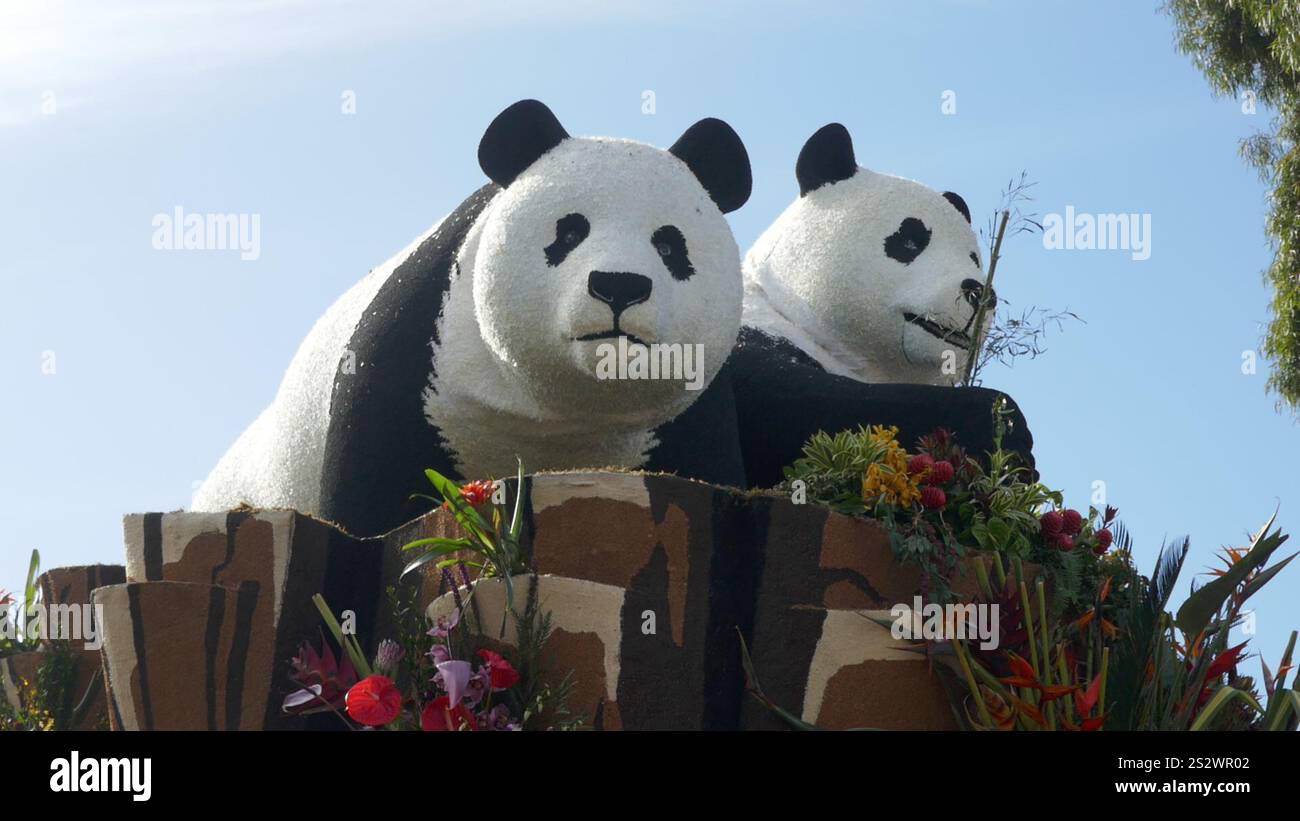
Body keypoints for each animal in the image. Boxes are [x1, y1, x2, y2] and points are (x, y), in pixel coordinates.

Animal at [192, 99, 753, 536]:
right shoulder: (414, 337)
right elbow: (368, 478)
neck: (564, 414)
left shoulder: (693, 402)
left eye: (670, 245)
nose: (619, 285)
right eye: (570, 231)